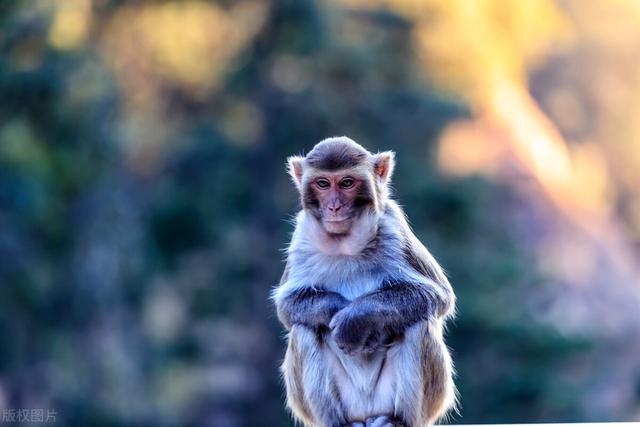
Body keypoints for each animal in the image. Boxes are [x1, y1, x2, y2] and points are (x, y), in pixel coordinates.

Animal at [273, 137, 457, 427]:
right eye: (322, 183)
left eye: (347, 183)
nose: (334, 207)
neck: (344, 245)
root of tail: (366, 411)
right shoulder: (300, 239)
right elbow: (288, 306)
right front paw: (336, 309)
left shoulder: (394, 227)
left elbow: (437, 296)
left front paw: (355, 321)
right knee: (303, 330)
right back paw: (337, 423)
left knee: (420, 324)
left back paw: (398, 420)